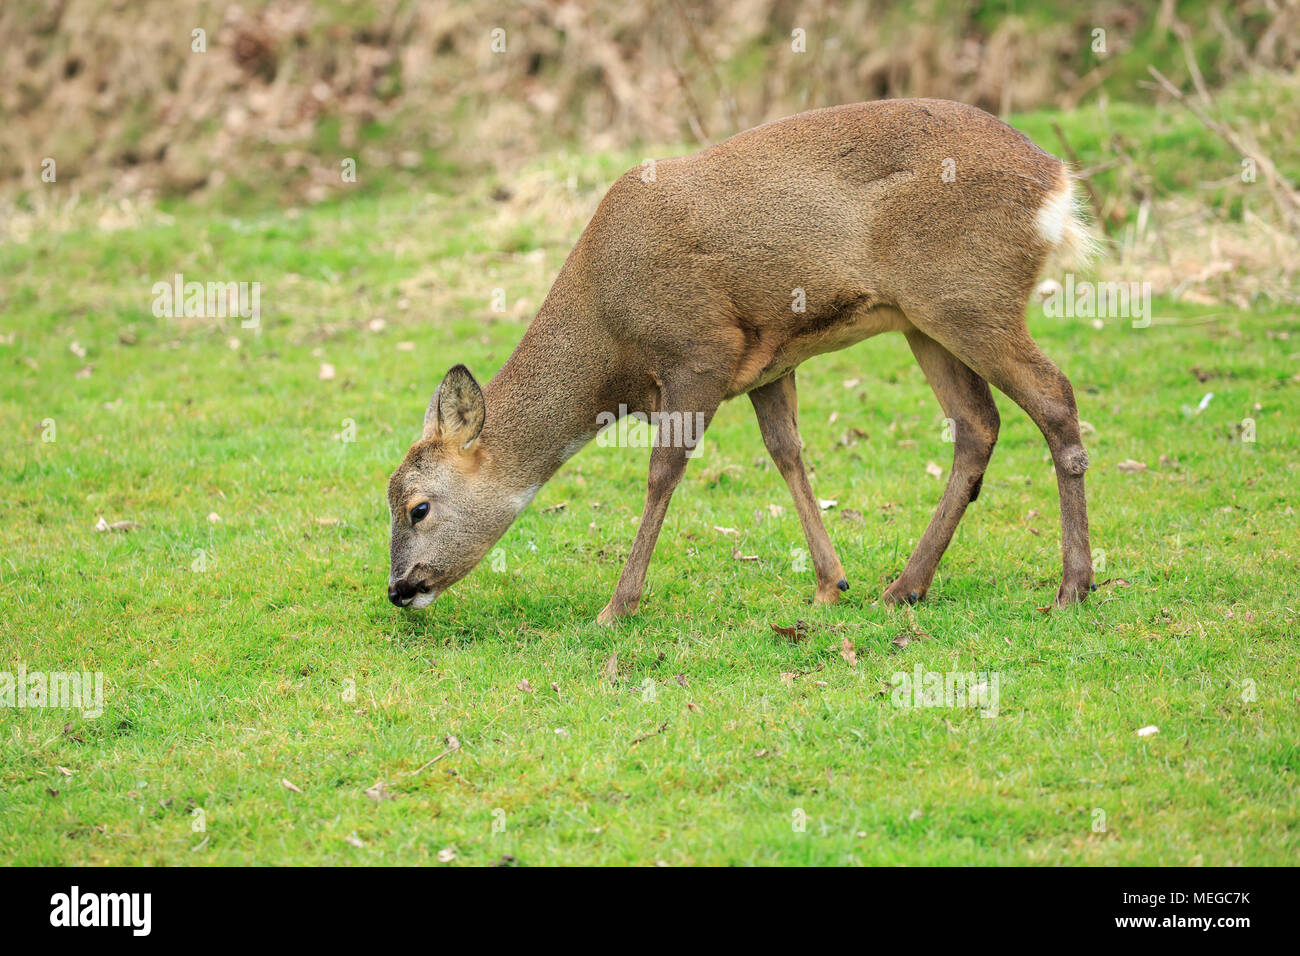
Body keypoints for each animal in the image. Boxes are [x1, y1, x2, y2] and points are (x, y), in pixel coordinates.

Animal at [387, 98, 1097, 624]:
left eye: (418, 507)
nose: (398, 589)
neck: (611, 344)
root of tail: (1058, 183)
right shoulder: (769, 364)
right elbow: (786, 452)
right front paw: (831, 583)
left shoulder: (701, 350)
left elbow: (662, 473)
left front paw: (617, 607)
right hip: (925, 318)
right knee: (978, 425)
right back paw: (905, 587)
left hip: (969, 296)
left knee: (1055, 396)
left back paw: (1073, 587)